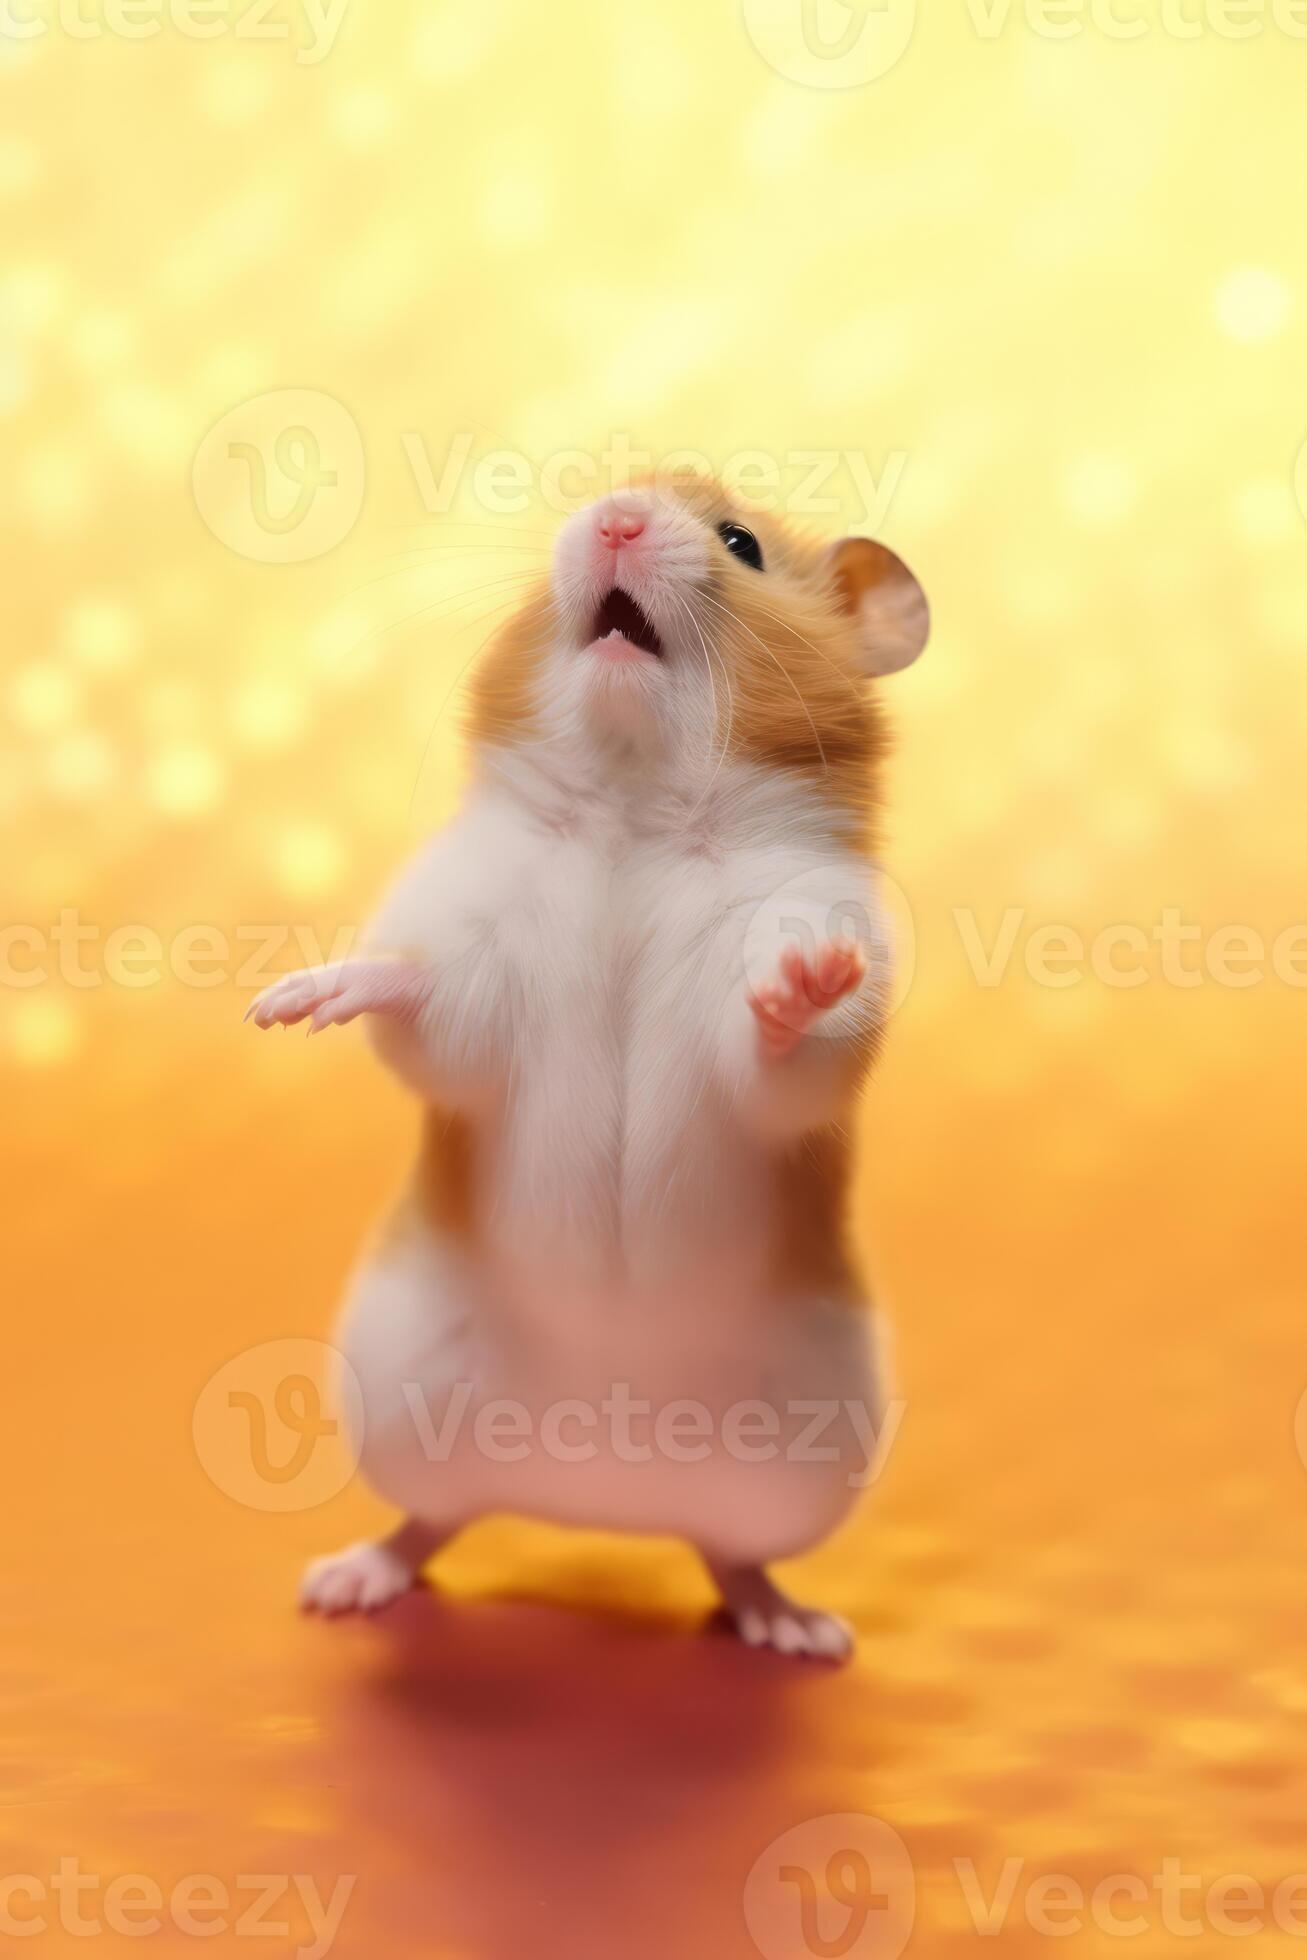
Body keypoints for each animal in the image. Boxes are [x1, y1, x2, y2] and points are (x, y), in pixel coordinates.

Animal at [250, 471, 928, 1662]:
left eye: (740, 543)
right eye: (605, 497)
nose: (615, 515)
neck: (634, 807)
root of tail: (597, 1495)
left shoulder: (806, 970)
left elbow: (780, 1050)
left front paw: (802, 980)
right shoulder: (474, 954)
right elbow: (420, 1002)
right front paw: (295, 1003)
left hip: (792, 1469)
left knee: (730, 1556)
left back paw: (799, 1631)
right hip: (403, 1393)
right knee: (432, 1521)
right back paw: (344, 1581)